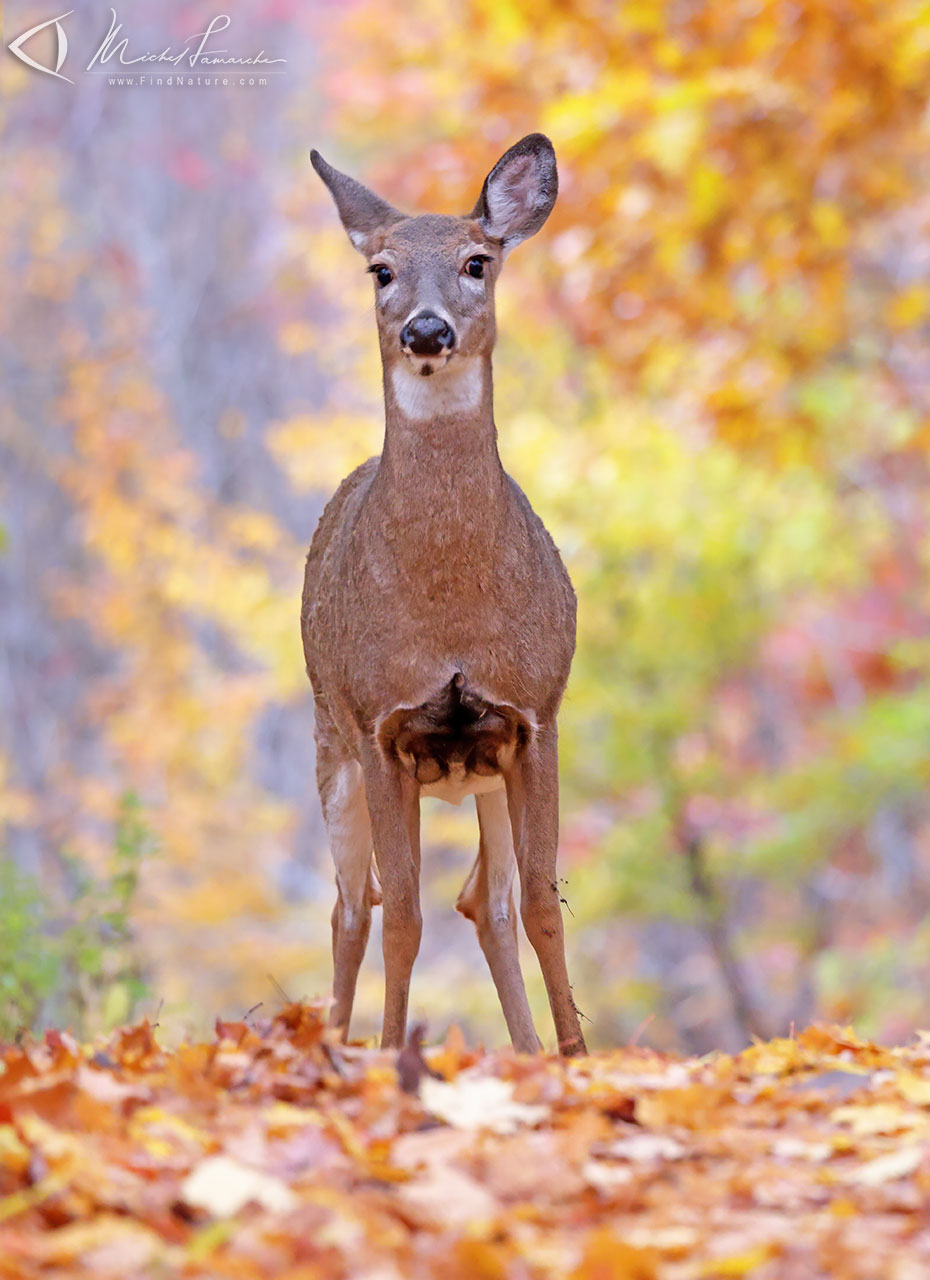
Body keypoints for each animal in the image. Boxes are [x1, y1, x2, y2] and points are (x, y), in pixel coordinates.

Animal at [303, 134, 587, 1057]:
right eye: (380, 270)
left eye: (477, 261)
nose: (428, 330)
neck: (450, 608)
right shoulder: (379, 724)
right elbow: (401, 919)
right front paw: (392, 1055)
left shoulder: (534, 714)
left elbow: (540, 905)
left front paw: (577, 1060)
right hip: (330, 745)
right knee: (351, 910)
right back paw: (331, 1048)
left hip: (482, 773)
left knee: (483, 901)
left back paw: (529, 1052)